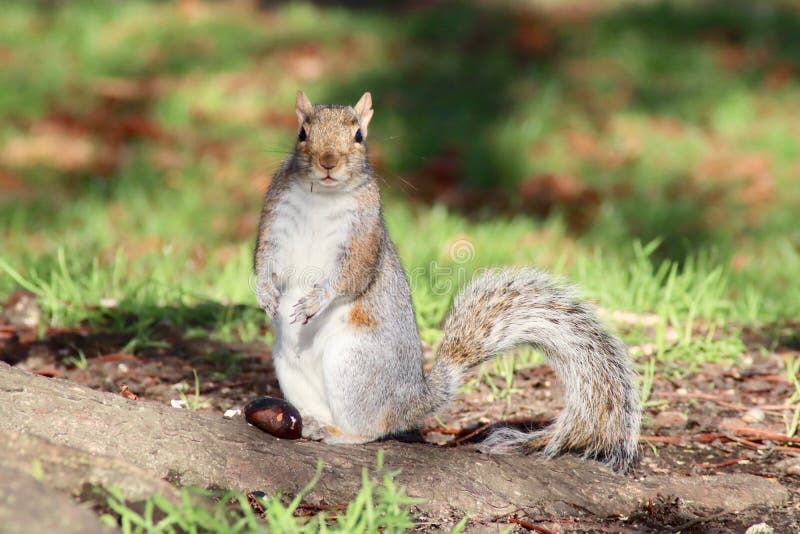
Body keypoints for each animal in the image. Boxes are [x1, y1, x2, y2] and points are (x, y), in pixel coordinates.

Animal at [253, 91, 641, 472]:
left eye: (359, 135)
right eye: (302, 133)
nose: (328, 162)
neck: (321, 198)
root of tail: (410, 402)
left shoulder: (364, 235)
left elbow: (353, 276)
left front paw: (314, 300)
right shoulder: (274, 221)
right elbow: (263, 262)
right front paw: (265, 295)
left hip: (352, 364)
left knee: (371, 428)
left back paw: (341, 432)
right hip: (289, 366)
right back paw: (310, 422)